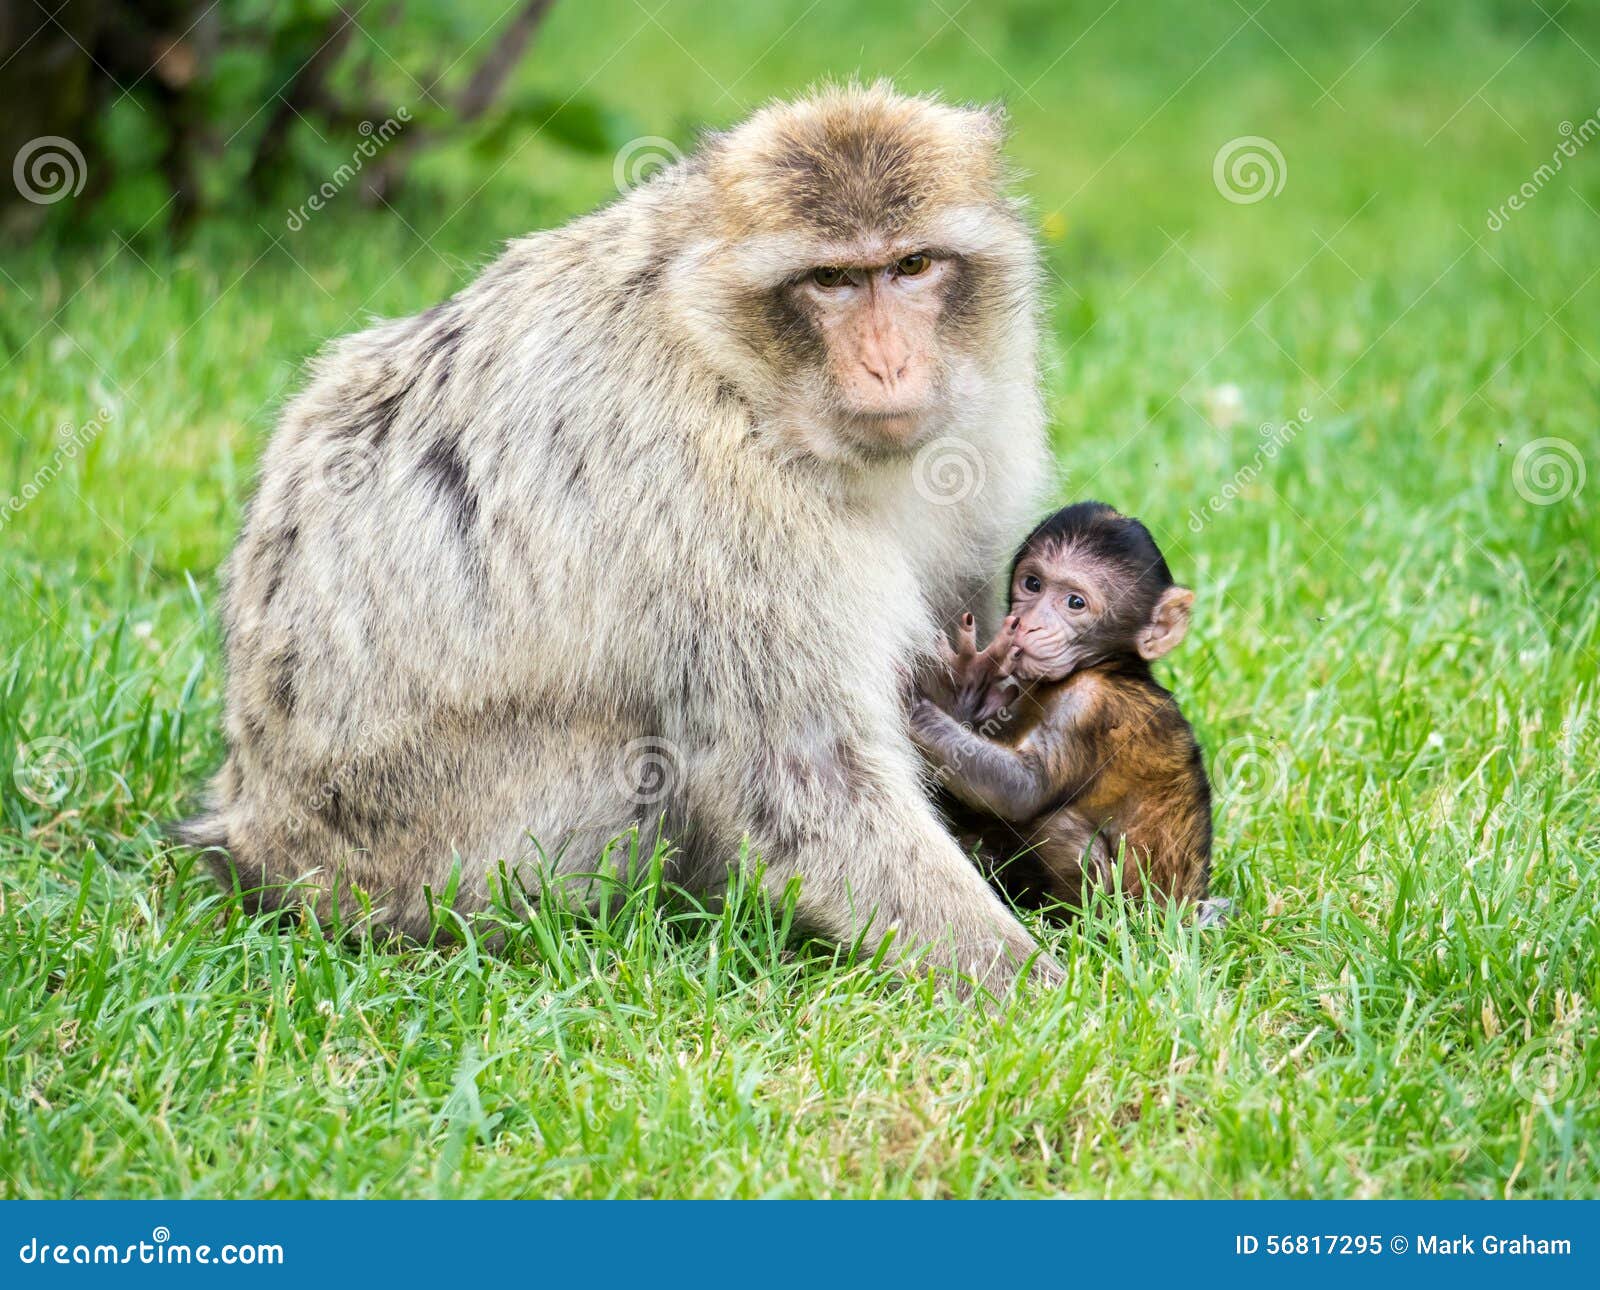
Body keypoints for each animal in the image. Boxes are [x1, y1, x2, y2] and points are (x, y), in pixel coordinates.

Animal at [173, 82, 1062, 995]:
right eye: (832, 280)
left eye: (911, 266)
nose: (888, 364)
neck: (740, 373)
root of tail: (260, 836)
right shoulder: (713, 496)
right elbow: (802, 780)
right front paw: (1039, 989)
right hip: (453, 861)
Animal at [911, 501, 1218, 920]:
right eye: (1032, 584)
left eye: (1075, 603)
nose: (1029, 625)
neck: (1108, 665)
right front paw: (967, 686)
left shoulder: (1088, 707)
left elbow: (1024, 789)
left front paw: (914, 708)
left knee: (1058, 826)